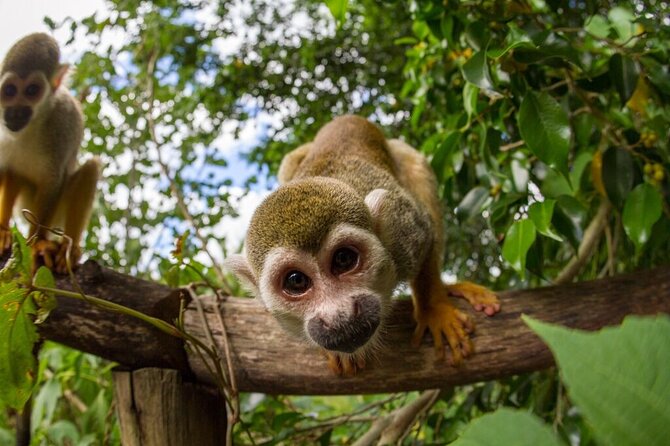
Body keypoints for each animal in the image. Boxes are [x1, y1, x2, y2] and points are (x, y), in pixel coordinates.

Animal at [0, 33, 100, 274]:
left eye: (32, 91)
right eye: (9, 91)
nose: (16, 112)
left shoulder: (62, 121)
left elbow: (53, 180)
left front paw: (37, 244)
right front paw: (1, 230)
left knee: (90, 169)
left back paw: (67, 249)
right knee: (14, 172)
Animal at [225, 115, 500, 375]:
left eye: (344, 259)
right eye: (296, 281)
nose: (339, 316)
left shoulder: (404, 232)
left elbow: (427, 232)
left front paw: (435, 309)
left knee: (416, 165)